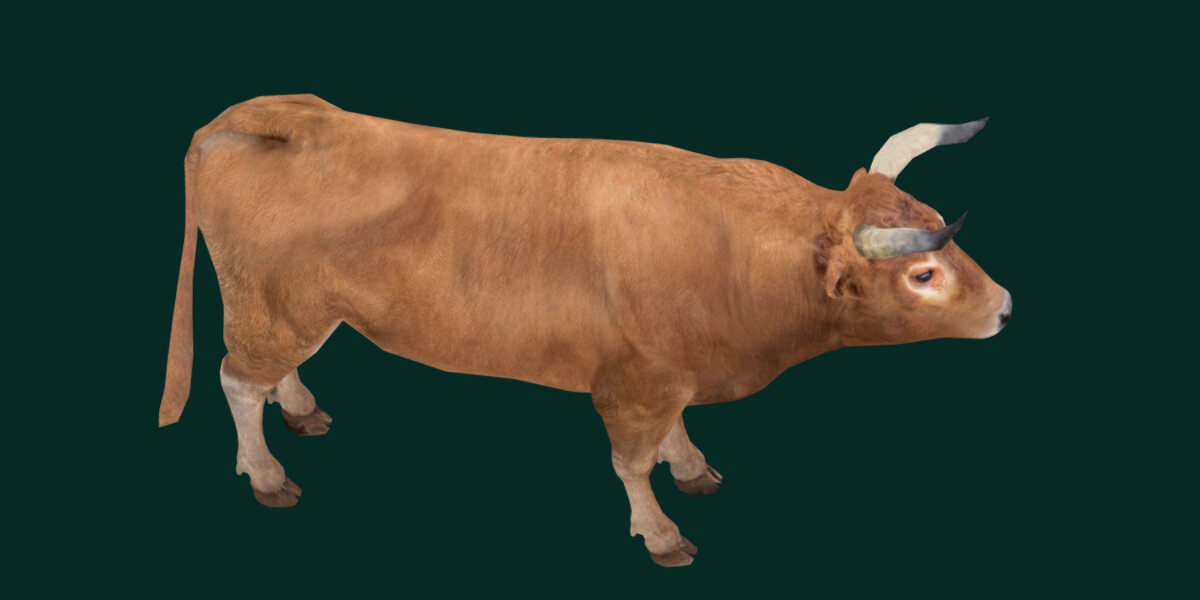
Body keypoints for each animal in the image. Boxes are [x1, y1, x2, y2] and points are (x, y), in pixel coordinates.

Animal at [159, 94, 1011, 567]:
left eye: (937, 224)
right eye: (923, 274)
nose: (1006, 306)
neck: (739, 257)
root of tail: (275, 117)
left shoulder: (671, 374)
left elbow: (673, 437)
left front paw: (691, 467)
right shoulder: (633, 384)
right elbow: (631, 464)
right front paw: (661, 533)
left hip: (294, 310)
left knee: (270, 371)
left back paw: (300, 410)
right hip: (274, 308)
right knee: (236, 380)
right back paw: (267, 474)